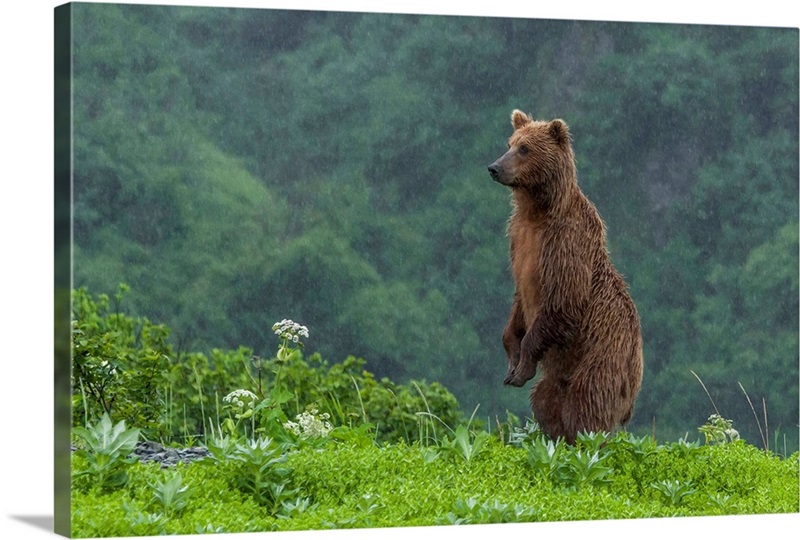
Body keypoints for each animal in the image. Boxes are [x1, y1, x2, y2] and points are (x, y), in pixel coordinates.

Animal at [487, 109, 643, 444]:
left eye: (525, 149)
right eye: (510, 143)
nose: (494, 167)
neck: (538, 211)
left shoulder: (565, 245)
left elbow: (563, 302)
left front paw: (521, 367)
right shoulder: (519, 240)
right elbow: (517, 304)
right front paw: (511, 364)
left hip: (601, 359)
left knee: (586, 404)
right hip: (559, 377)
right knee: (545, 400)